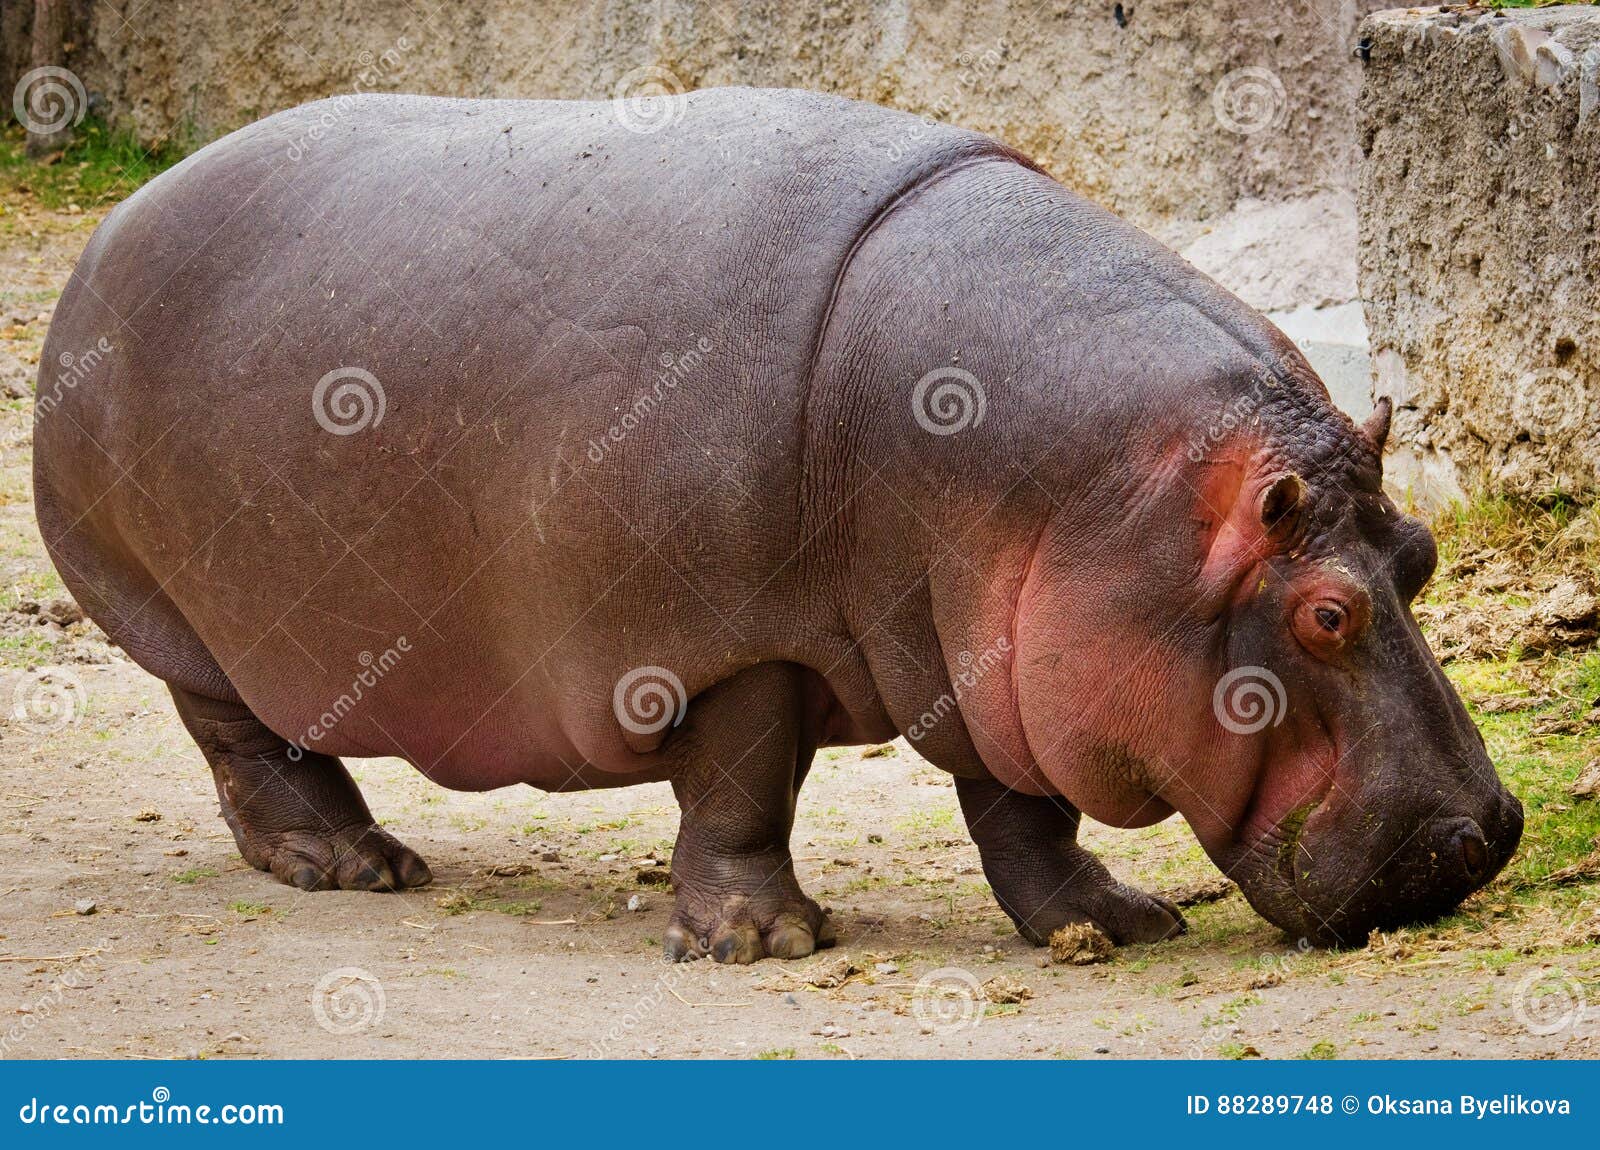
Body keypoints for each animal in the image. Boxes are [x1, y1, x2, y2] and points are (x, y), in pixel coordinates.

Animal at [34, 88, 1521, 961]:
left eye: (1422, 555)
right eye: (1324, 612)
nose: (1483, 835)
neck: (1098, 501)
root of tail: (111, 226)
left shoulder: (993, 645)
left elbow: (1022, 808)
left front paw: (1116, 922)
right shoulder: (735, 644)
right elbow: (745, 780)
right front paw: (762, 941)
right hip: (179, 616)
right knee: (245, 738)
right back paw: (353, 865)